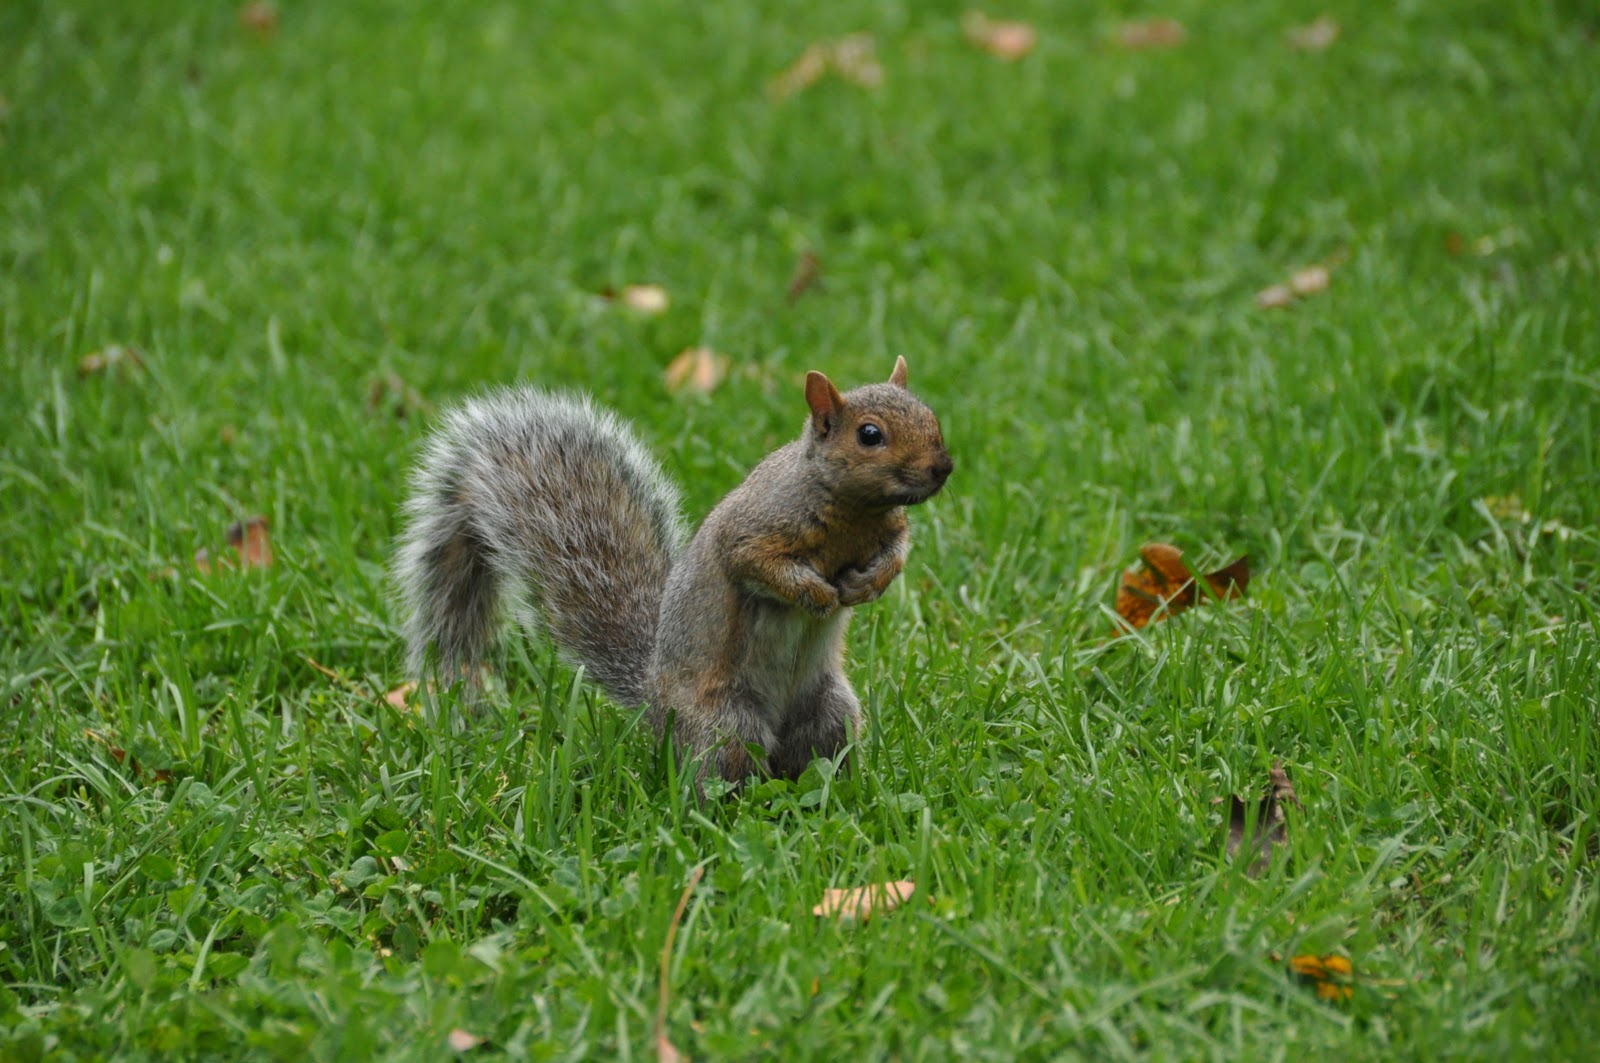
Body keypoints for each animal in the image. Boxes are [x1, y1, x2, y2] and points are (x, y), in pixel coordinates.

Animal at [395, 357, 952, 784]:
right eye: (870, 434)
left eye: (932, 415)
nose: (942, 468)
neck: (854, 512)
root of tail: (655, 702)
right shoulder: (754, 531)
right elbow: (760, 566)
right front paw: (818, 595)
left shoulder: (889, 528)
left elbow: (897, 551)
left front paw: (870, 583)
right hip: (726, 725)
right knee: (720, 772)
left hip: (827, 713)